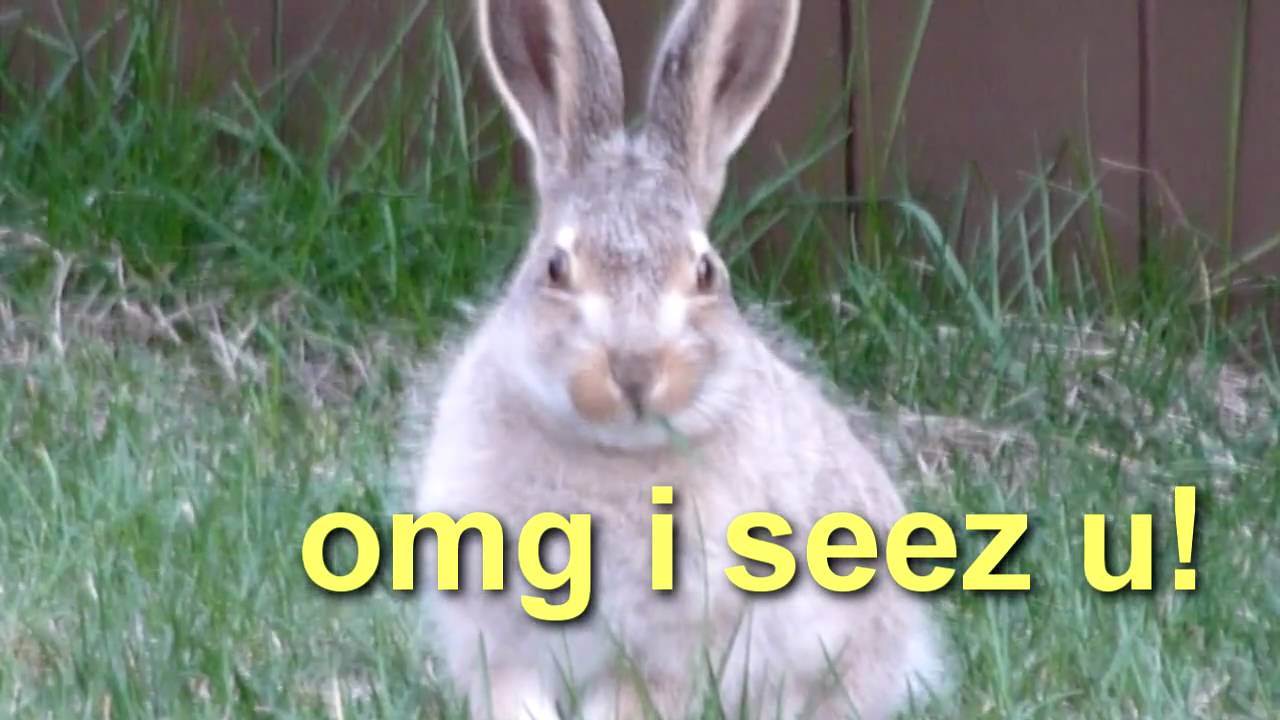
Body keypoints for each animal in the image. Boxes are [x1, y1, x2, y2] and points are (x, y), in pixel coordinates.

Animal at [406, 0, 948, 717]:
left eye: (705, 271)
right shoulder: (499, 645)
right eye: (555, 268)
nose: (636, 371)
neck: (610, 451)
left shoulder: (663, 657)